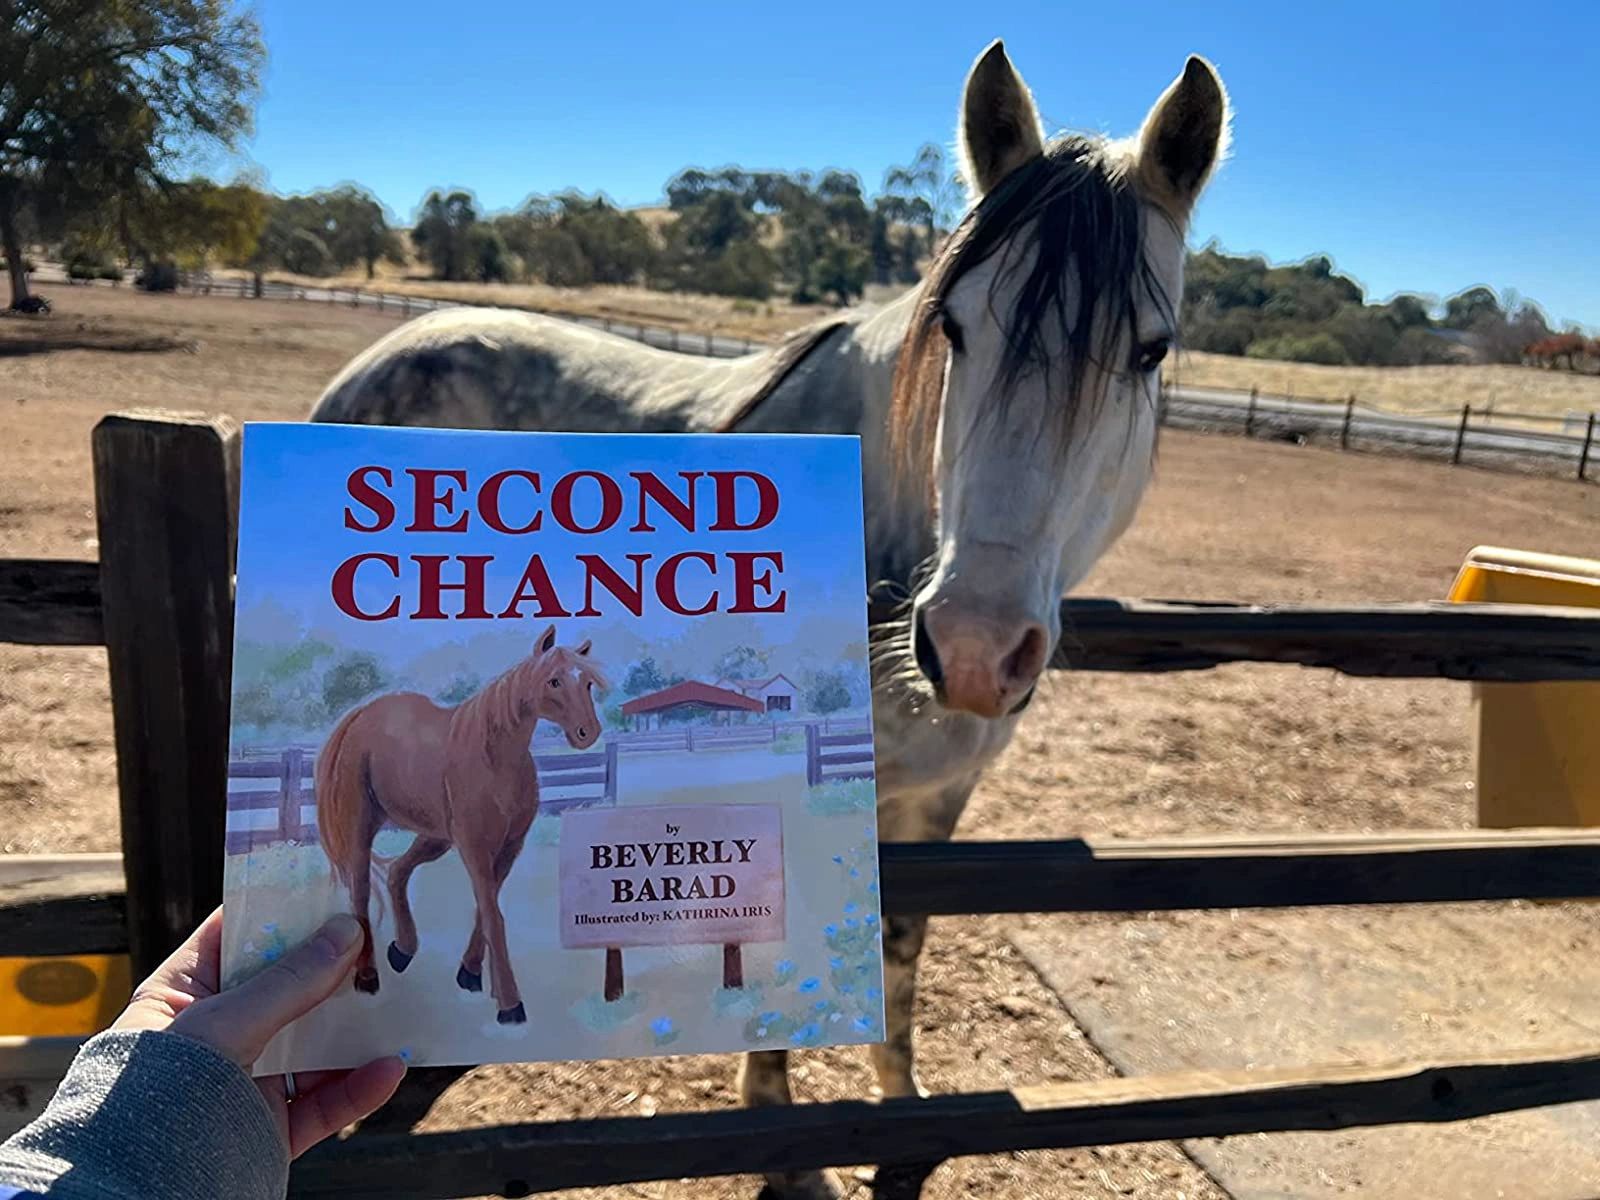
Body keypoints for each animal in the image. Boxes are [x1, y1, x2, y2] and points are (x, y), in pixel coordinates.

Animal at [315, 625, 604, 1024]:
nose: (587, 732)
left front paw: (471, 973)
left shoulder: (507, 847)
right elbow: (493, 915)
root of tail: (360, 715)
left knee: (398, 873)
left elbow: (486, 908)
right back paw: (368, 975)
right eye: (554, 680)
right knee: (360, 892)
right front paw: (510, 1004)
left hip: (435, 837)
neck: (494, 757)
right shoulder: (474, 846)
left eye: (588, 682)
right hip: (363, 827)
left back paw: (402, 950)